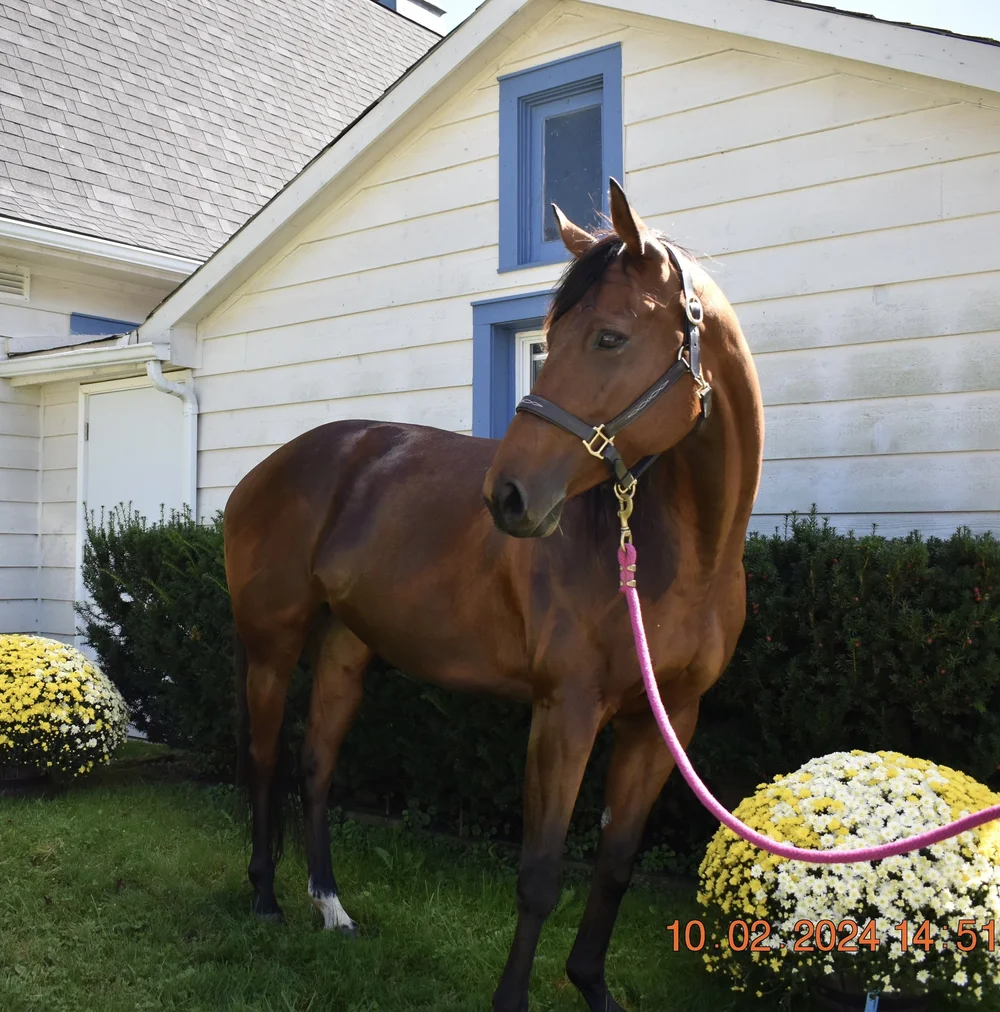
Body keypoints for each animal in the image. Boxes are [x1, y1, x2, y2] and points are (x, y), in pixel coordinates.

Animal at [224, 178, 764, 1012]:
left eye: (609, 337)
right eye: (549, 334)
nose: (507, 497)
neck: (681, 558)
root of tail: (269, 469)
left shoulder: (666, 720)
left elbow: (616, 863)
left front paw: (592, 986)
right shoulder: (565, 712)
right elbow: (540, 873)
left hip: (348, 646)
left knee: (315, 765)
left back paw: (331, 907)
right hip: (272, 648)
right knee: (263, 760)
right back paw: (264, 899)